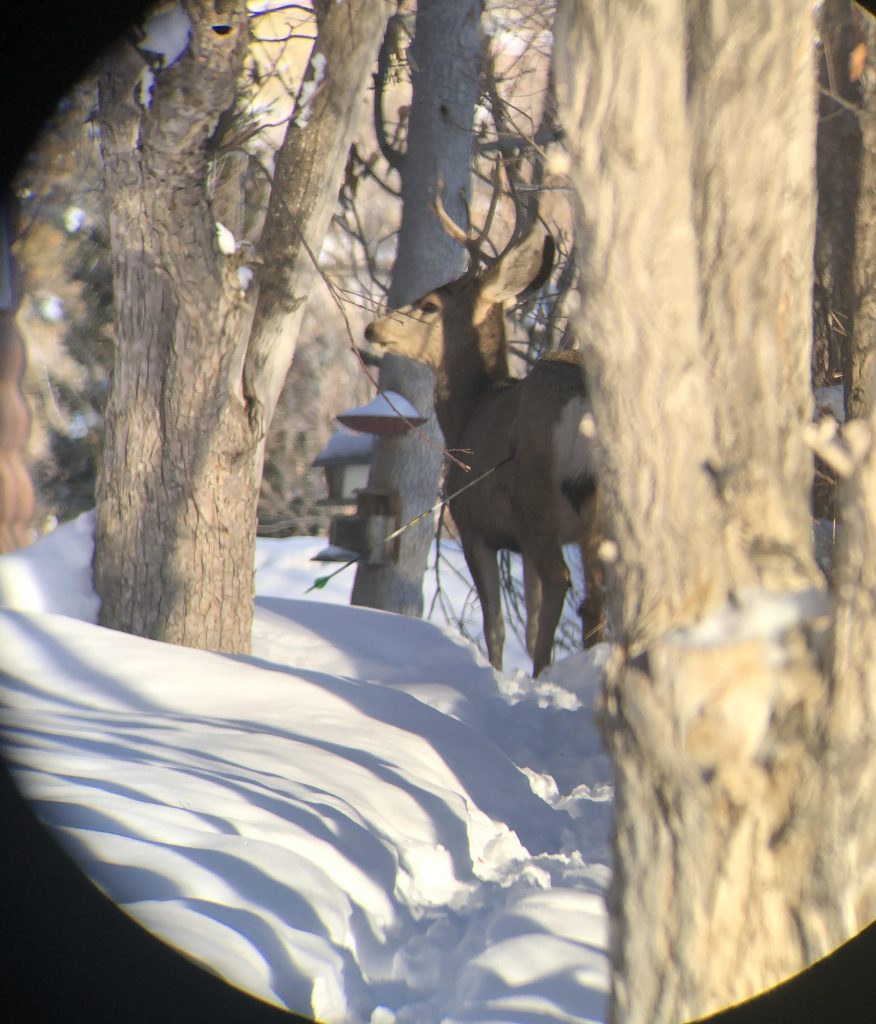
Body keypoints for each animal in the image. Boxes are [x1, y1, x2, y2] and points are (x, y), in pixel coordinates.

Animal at [364, 208, 604, 678]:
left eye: (429, 305)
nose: (373, 328)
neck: (470, 410)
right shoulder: (519, 542)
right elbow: (528, 622)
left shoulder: (474, 524)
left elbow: (497, 624)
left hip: (536, 498)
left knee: (561, 583)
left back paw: (543, 677)